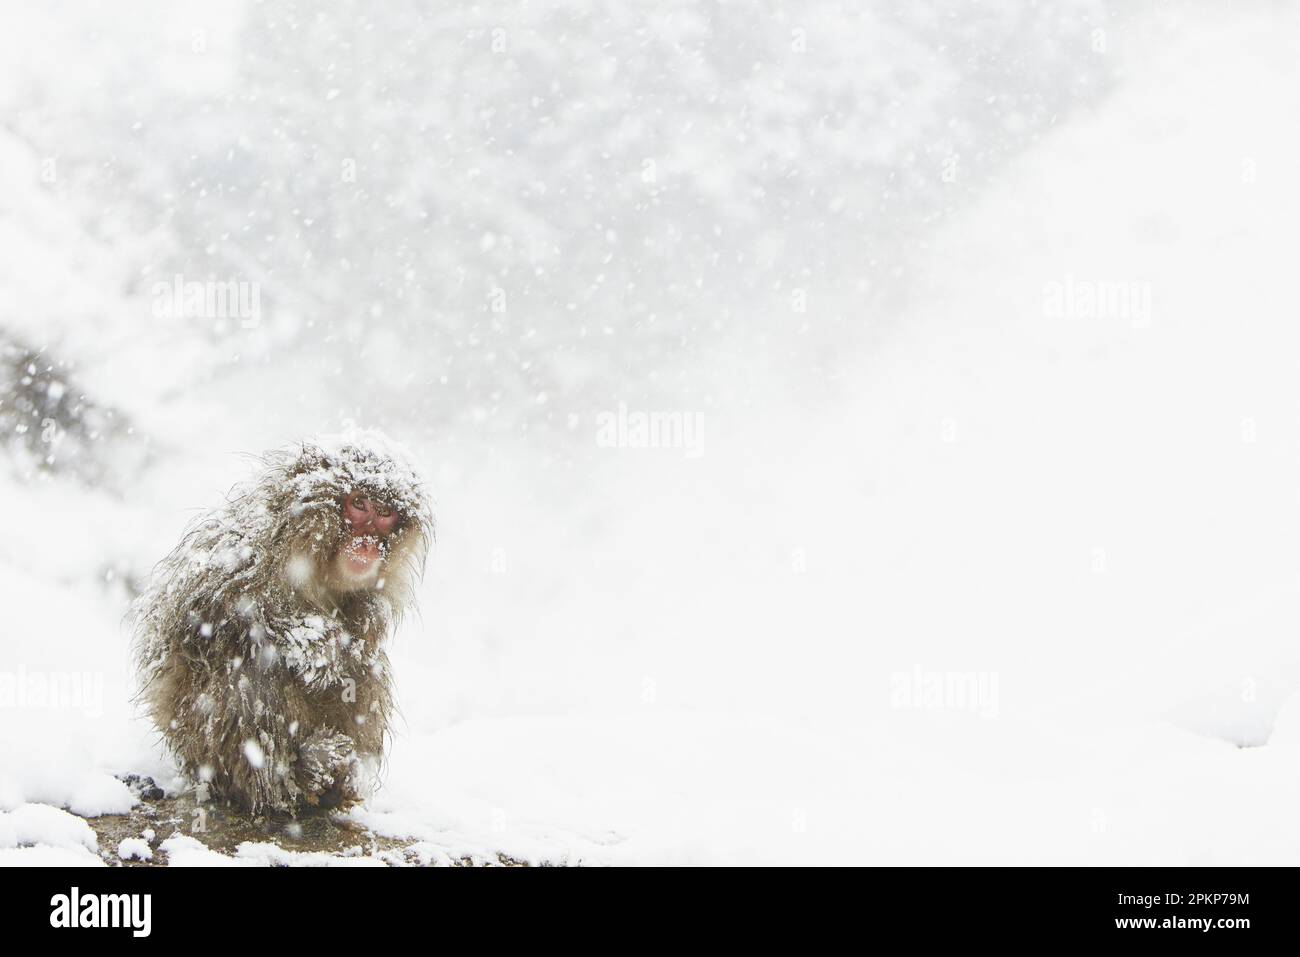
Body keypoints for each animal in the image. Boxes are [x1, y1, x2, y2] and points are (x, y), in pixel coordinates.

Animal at [130, 432, 433, 816]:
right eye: (359, 503)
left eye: (384, 514)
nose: (366, 544)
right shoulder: (246, 551)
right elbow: (209, 614)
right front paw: (315, 643)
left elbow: (364, 638)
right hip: (200, 742)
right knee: (249, 670)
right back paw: (290, 777)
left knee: (365, 670)